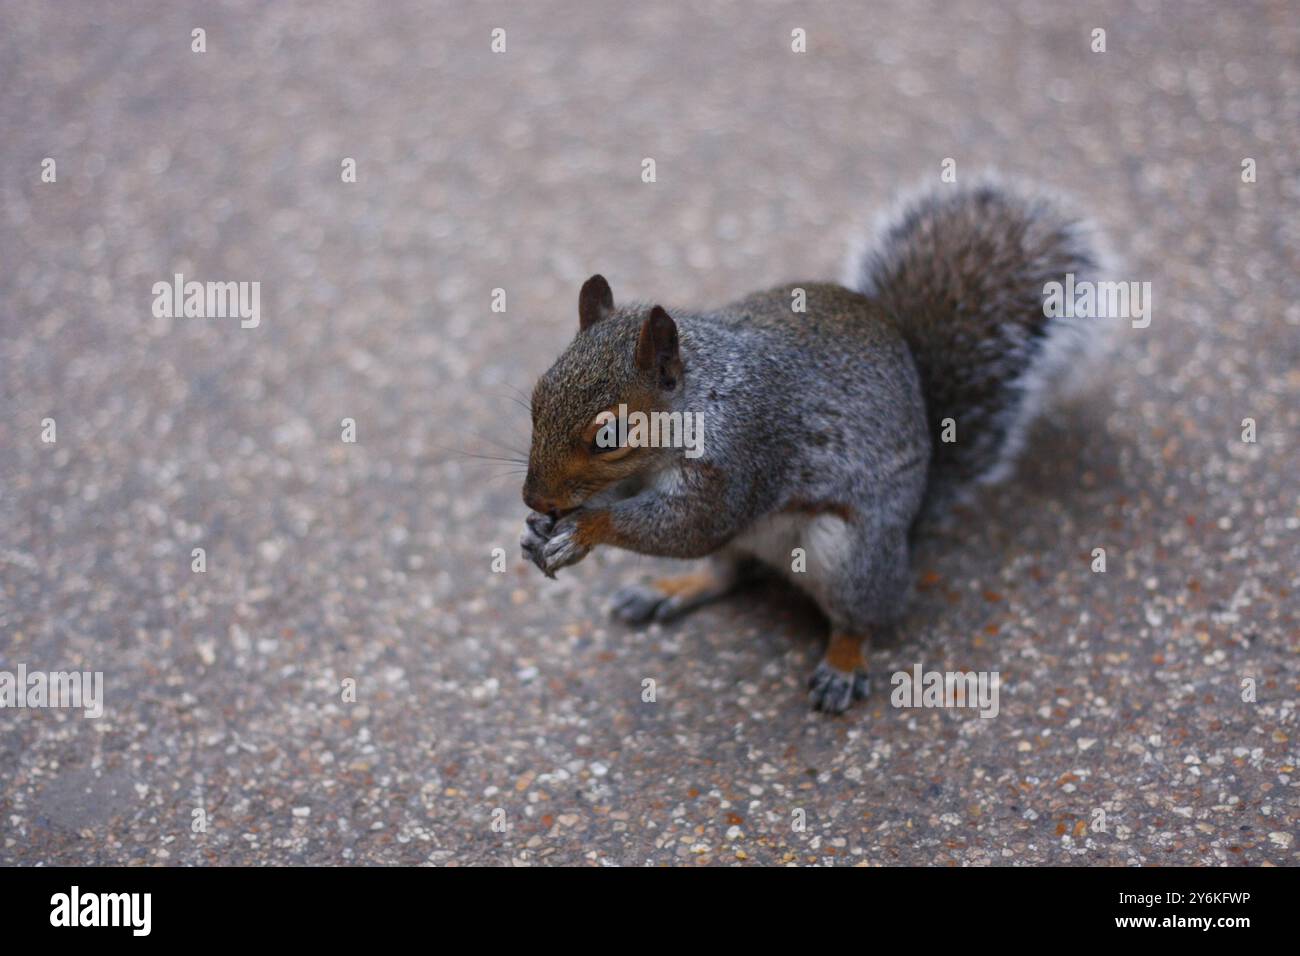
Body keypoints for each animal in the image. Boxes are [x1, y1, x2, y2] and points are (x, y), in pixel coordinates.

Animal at [519, 179, 1107, 713]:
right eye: (536, 395)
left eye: (610, 436)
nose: (534, 499)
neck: (699, 400)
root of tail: (911, 522)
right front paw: (540, 531)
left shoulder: (743, 455)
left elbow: (693, 525)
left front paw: (585, 529)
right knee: (726, 571)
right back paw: (671, 588)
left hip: (847, 554)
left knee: (864, 615)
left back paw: (843, 663)